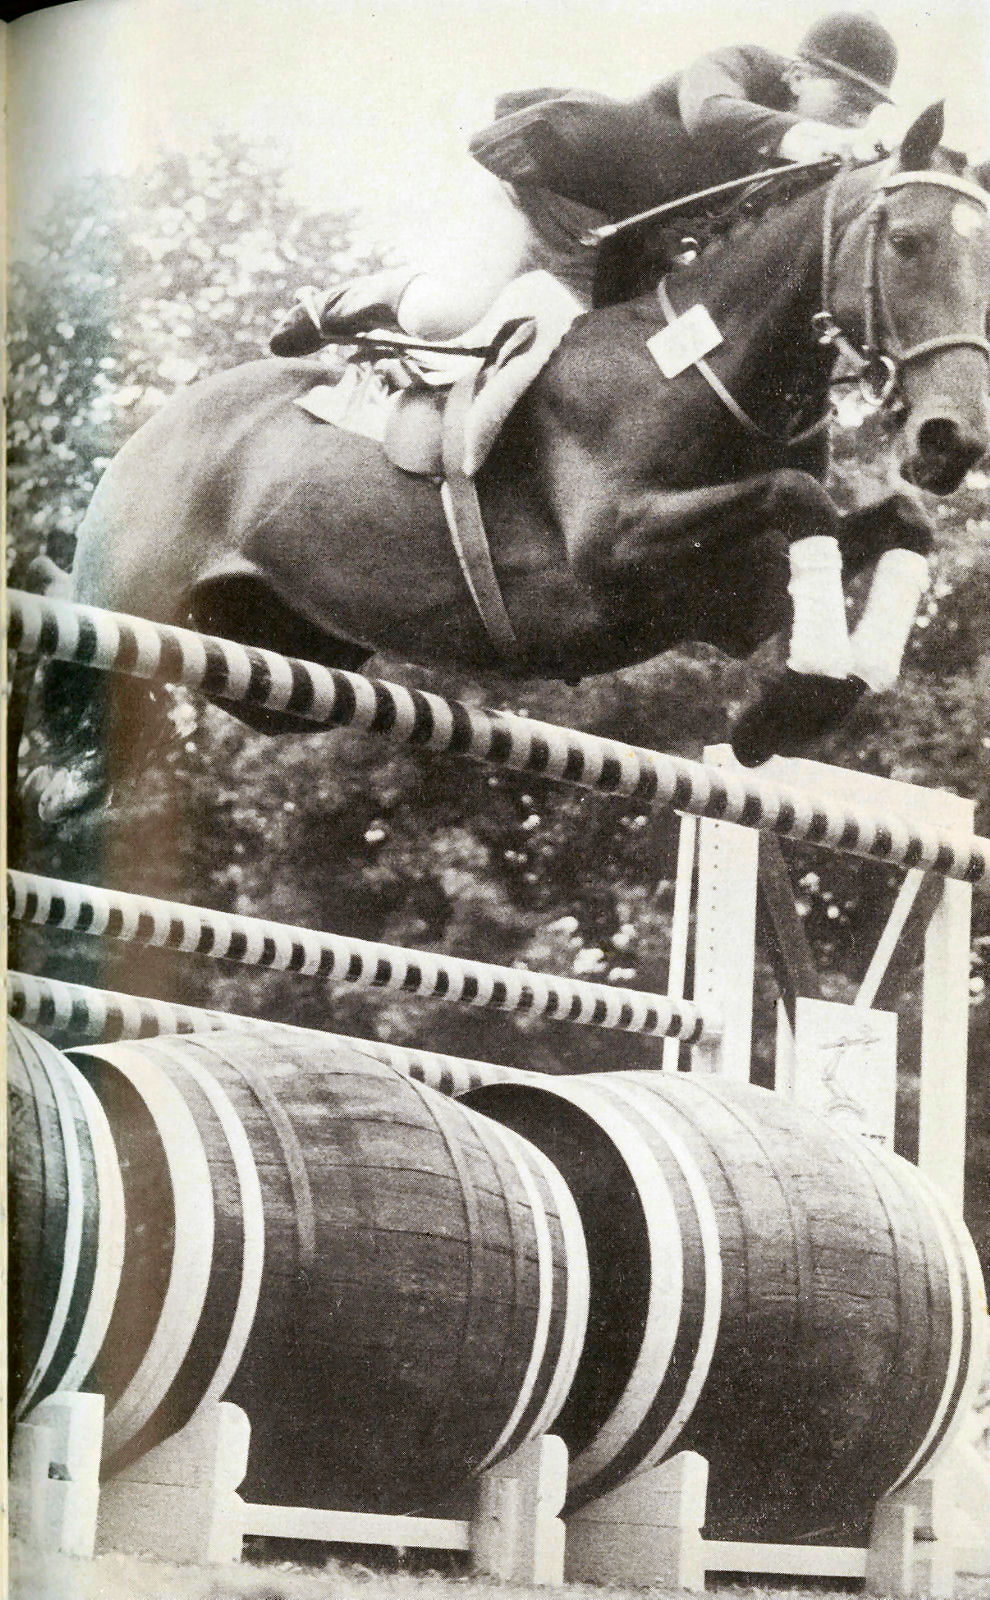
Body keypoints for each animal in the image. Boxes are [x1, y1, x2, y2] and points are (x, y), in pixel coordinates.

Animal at [24, 104, 990, 819]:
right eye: (906, 243)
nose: (954, 440)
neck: (696, 366)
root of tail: (157, 423)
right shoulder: (612, 545)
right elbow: (799, 499)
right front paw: (793, 704)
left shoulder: (729, 596)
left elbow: (890, 522)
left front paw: (834, 679)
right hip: (135, 594)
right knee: (90, 650)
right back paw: (61, 769)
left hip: (285, 647)